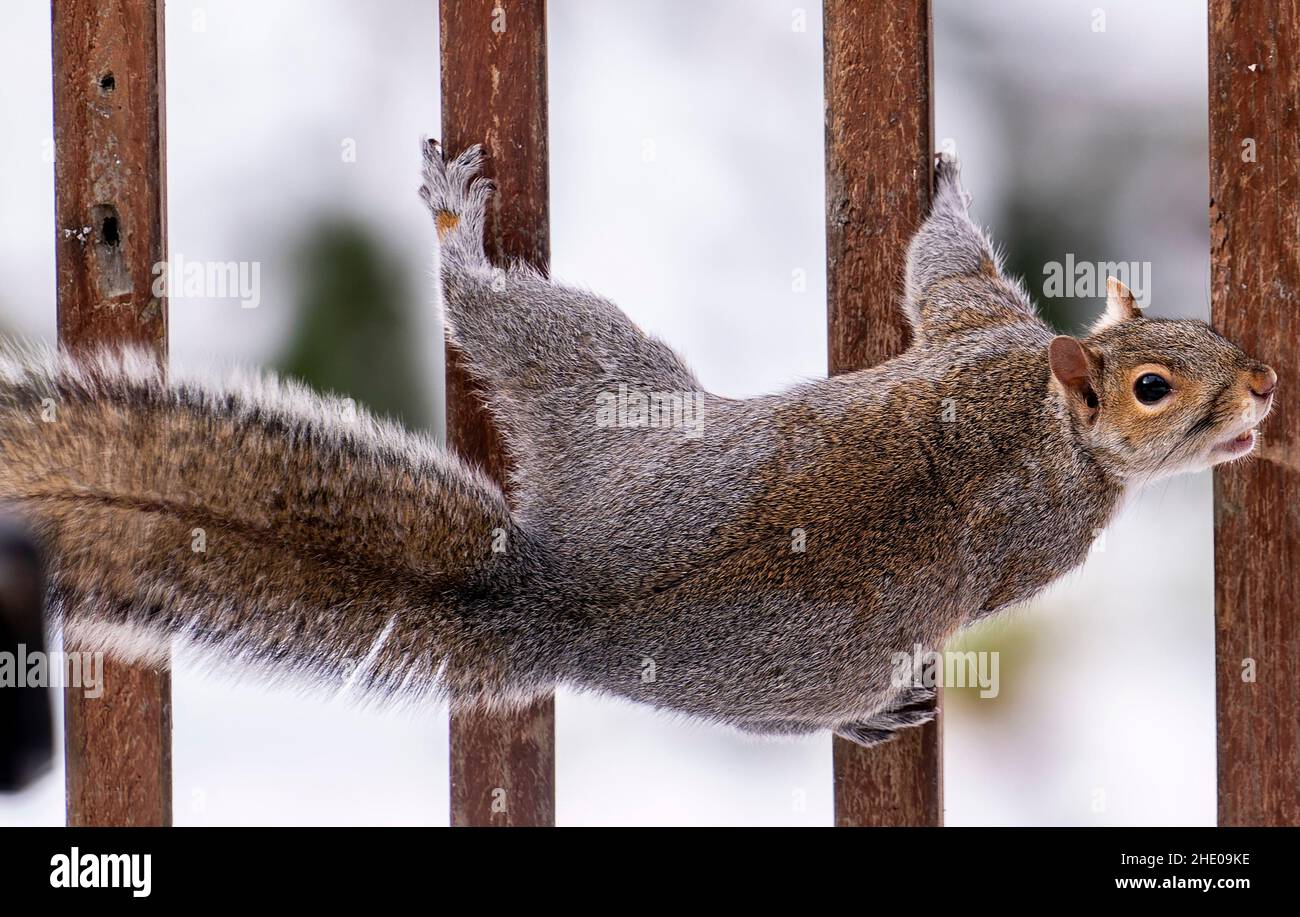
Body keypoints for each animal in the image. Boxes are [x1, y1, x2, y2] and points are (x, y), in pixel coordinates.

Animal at [0, 144, 1277, 747]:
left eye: (1200, 322)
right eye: (1155, 385)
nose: (1264, 384)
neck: (1045, 413)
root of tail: (569, 597)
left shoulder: (978, 333)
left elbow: (940, 268)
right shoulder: (1028, 465)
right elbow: (953, 270)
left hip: (595, 401)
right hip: (624, 390)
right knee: (484, 296)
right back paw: (457, 224)